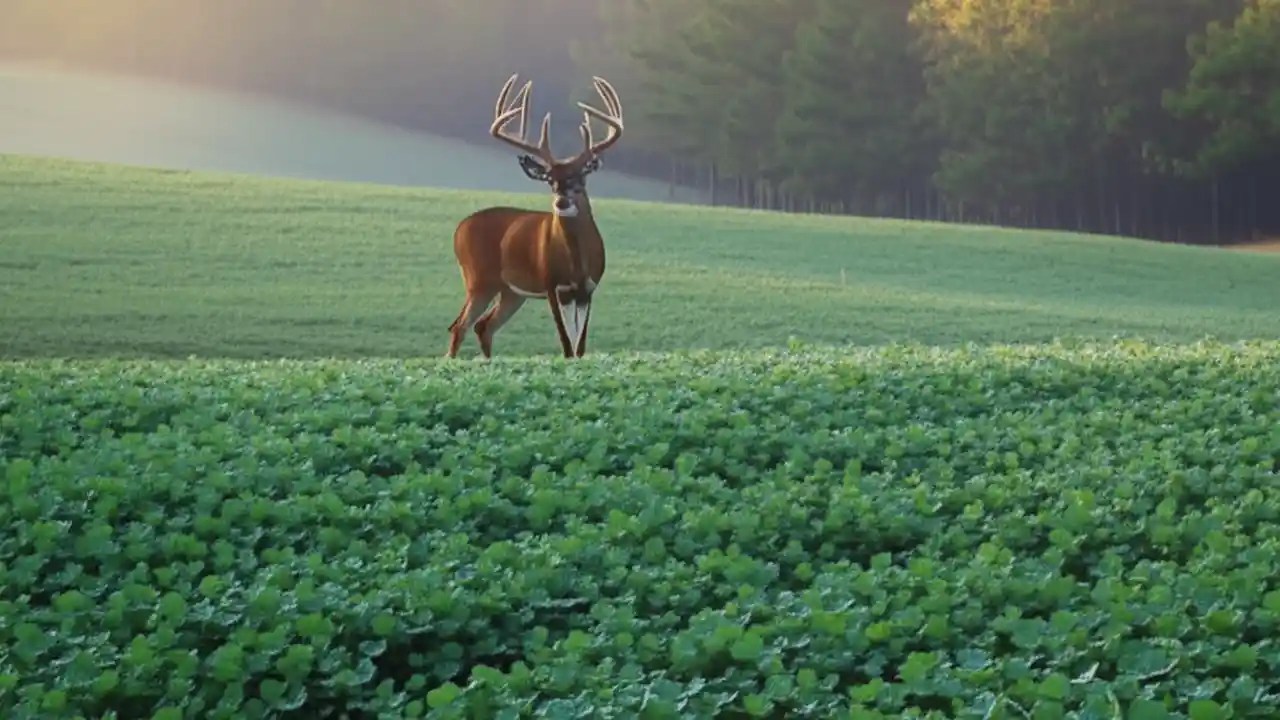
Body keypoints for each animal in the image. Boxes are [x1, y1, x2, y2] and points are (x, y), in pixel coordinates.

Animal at [444, 73, 625, 360]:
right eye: (550, 180)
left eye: (580, 178)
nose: (561, 201)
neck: (577, 261)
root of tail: (459, 228)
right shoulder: (552, 284)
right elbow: (566, 344)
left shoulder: (588, 288)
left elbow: (580, 346)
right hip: (478, 278)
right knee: (460, 326)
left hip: (511, 292)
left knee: (484, 326)